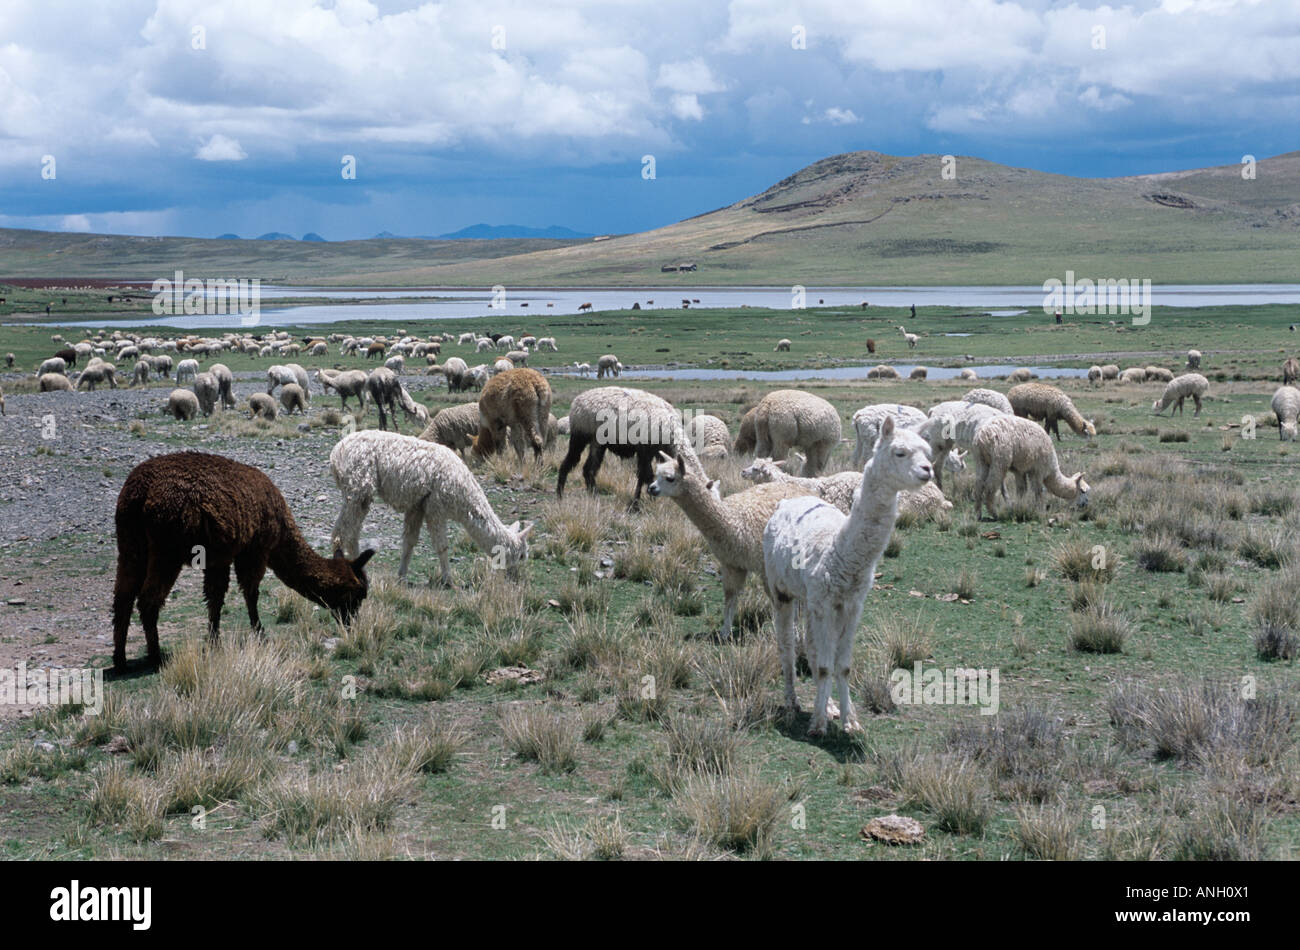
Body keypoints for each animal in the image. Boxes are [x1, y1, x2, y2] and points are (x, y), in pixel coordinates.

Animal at [113, 452, 374, 671]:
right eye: (358, 595)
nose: (351, 624)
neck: (281, 528)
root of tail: (141, 491)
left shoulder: (219, 557)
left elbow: (215, 598)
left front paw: (214, 641)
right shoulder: (254, 550)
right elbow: (250, 593)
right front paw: (259, 633)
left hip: (131, 545)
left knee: (122, 597)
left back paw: (120, 660)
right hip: (167, 548)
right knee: (148, 600)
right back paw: (156, 658)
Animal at [329, 430, 532, 585]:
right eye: (522, 555)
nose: (516, 576)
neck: (464, 495)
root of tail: (336, 452)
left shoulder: (417, 506)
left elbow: (409, 542)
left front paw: (402, 576)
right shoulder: (436, 507)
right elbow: (442, 546)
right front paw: (449, 580)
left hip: (359, 495)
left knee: (352, 533)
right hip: (358, 486)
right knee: (341, 533)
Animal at [557, 387, 699, 505]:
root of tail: (578, 399)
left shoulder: (652, 452)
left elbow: (645, 476)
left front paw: (644, 500)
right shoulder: (644, 450)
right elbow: (646, 476)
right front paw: (641, 502)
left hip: (597, 443)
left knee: (589, 469)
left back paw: (594, 496)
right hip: (579, 437)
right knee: (568, 463)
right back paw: (560, 495)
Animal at [763, 416, 935, 735]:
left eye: (928, 452)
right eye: (900, 452)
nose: (927, 470)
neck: (841, 553)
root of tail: (786, 502)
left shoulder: (851, 604)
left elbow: (841, 665)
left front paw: (849, 719)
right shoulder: (824, 603)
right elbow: (823, 665)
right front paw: (818, 725)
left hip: (809, 599)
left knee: (811, 646)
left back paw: (828, 705)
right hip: (781, 590)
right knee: (787, 647)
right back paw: (792, 702)